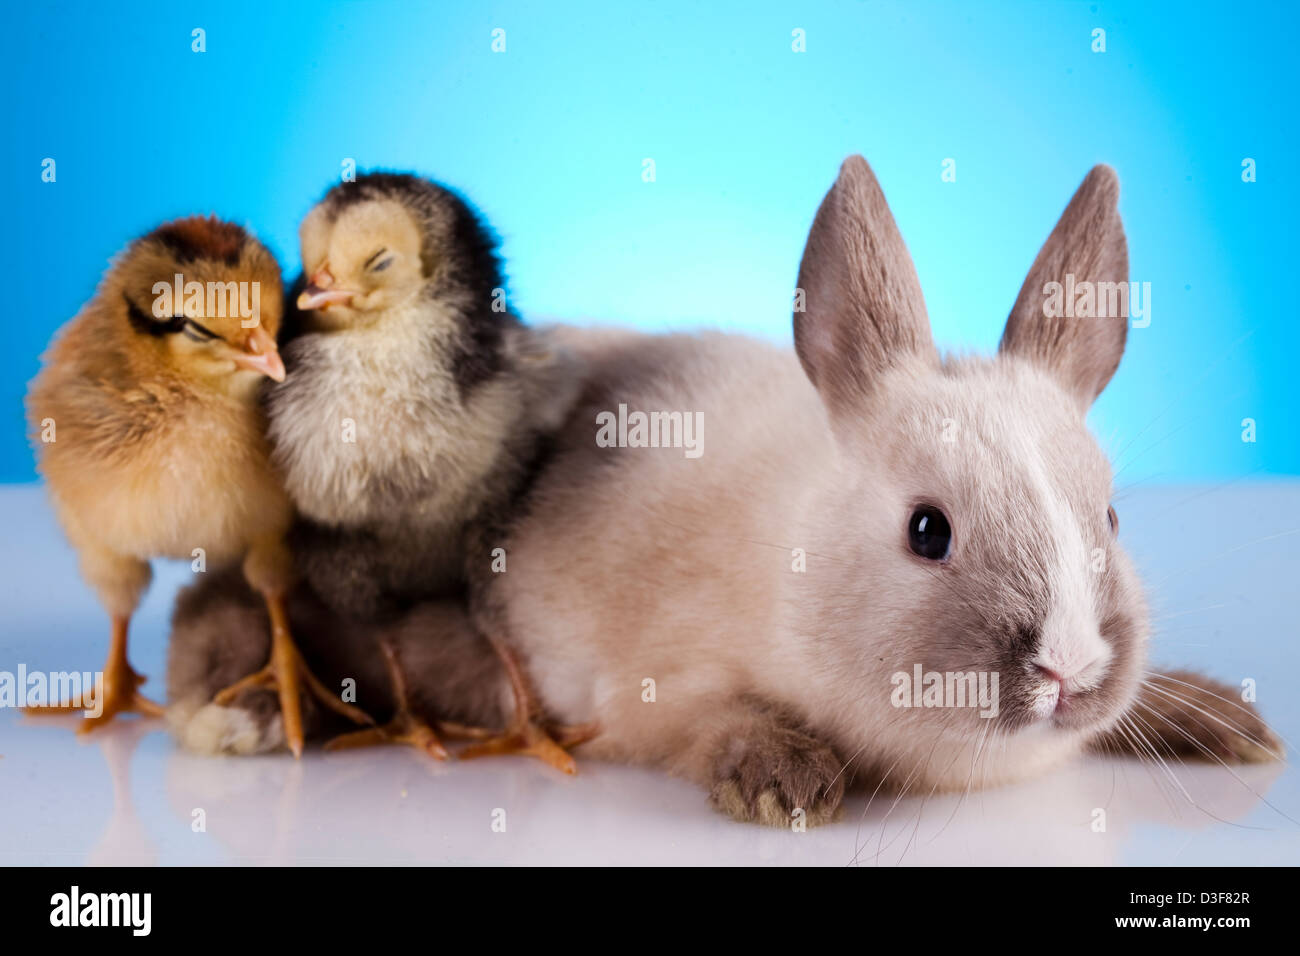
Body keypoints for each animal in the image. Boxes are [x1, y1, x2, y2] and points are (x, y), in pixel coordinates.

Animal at [468, 156, 1281, 827]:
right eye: (928, 531)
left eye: (1110, 518)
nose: (1068, 668)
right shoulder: (651, 691)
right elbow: (713, 720)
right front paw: (785, 783)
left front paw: (1223, 720)